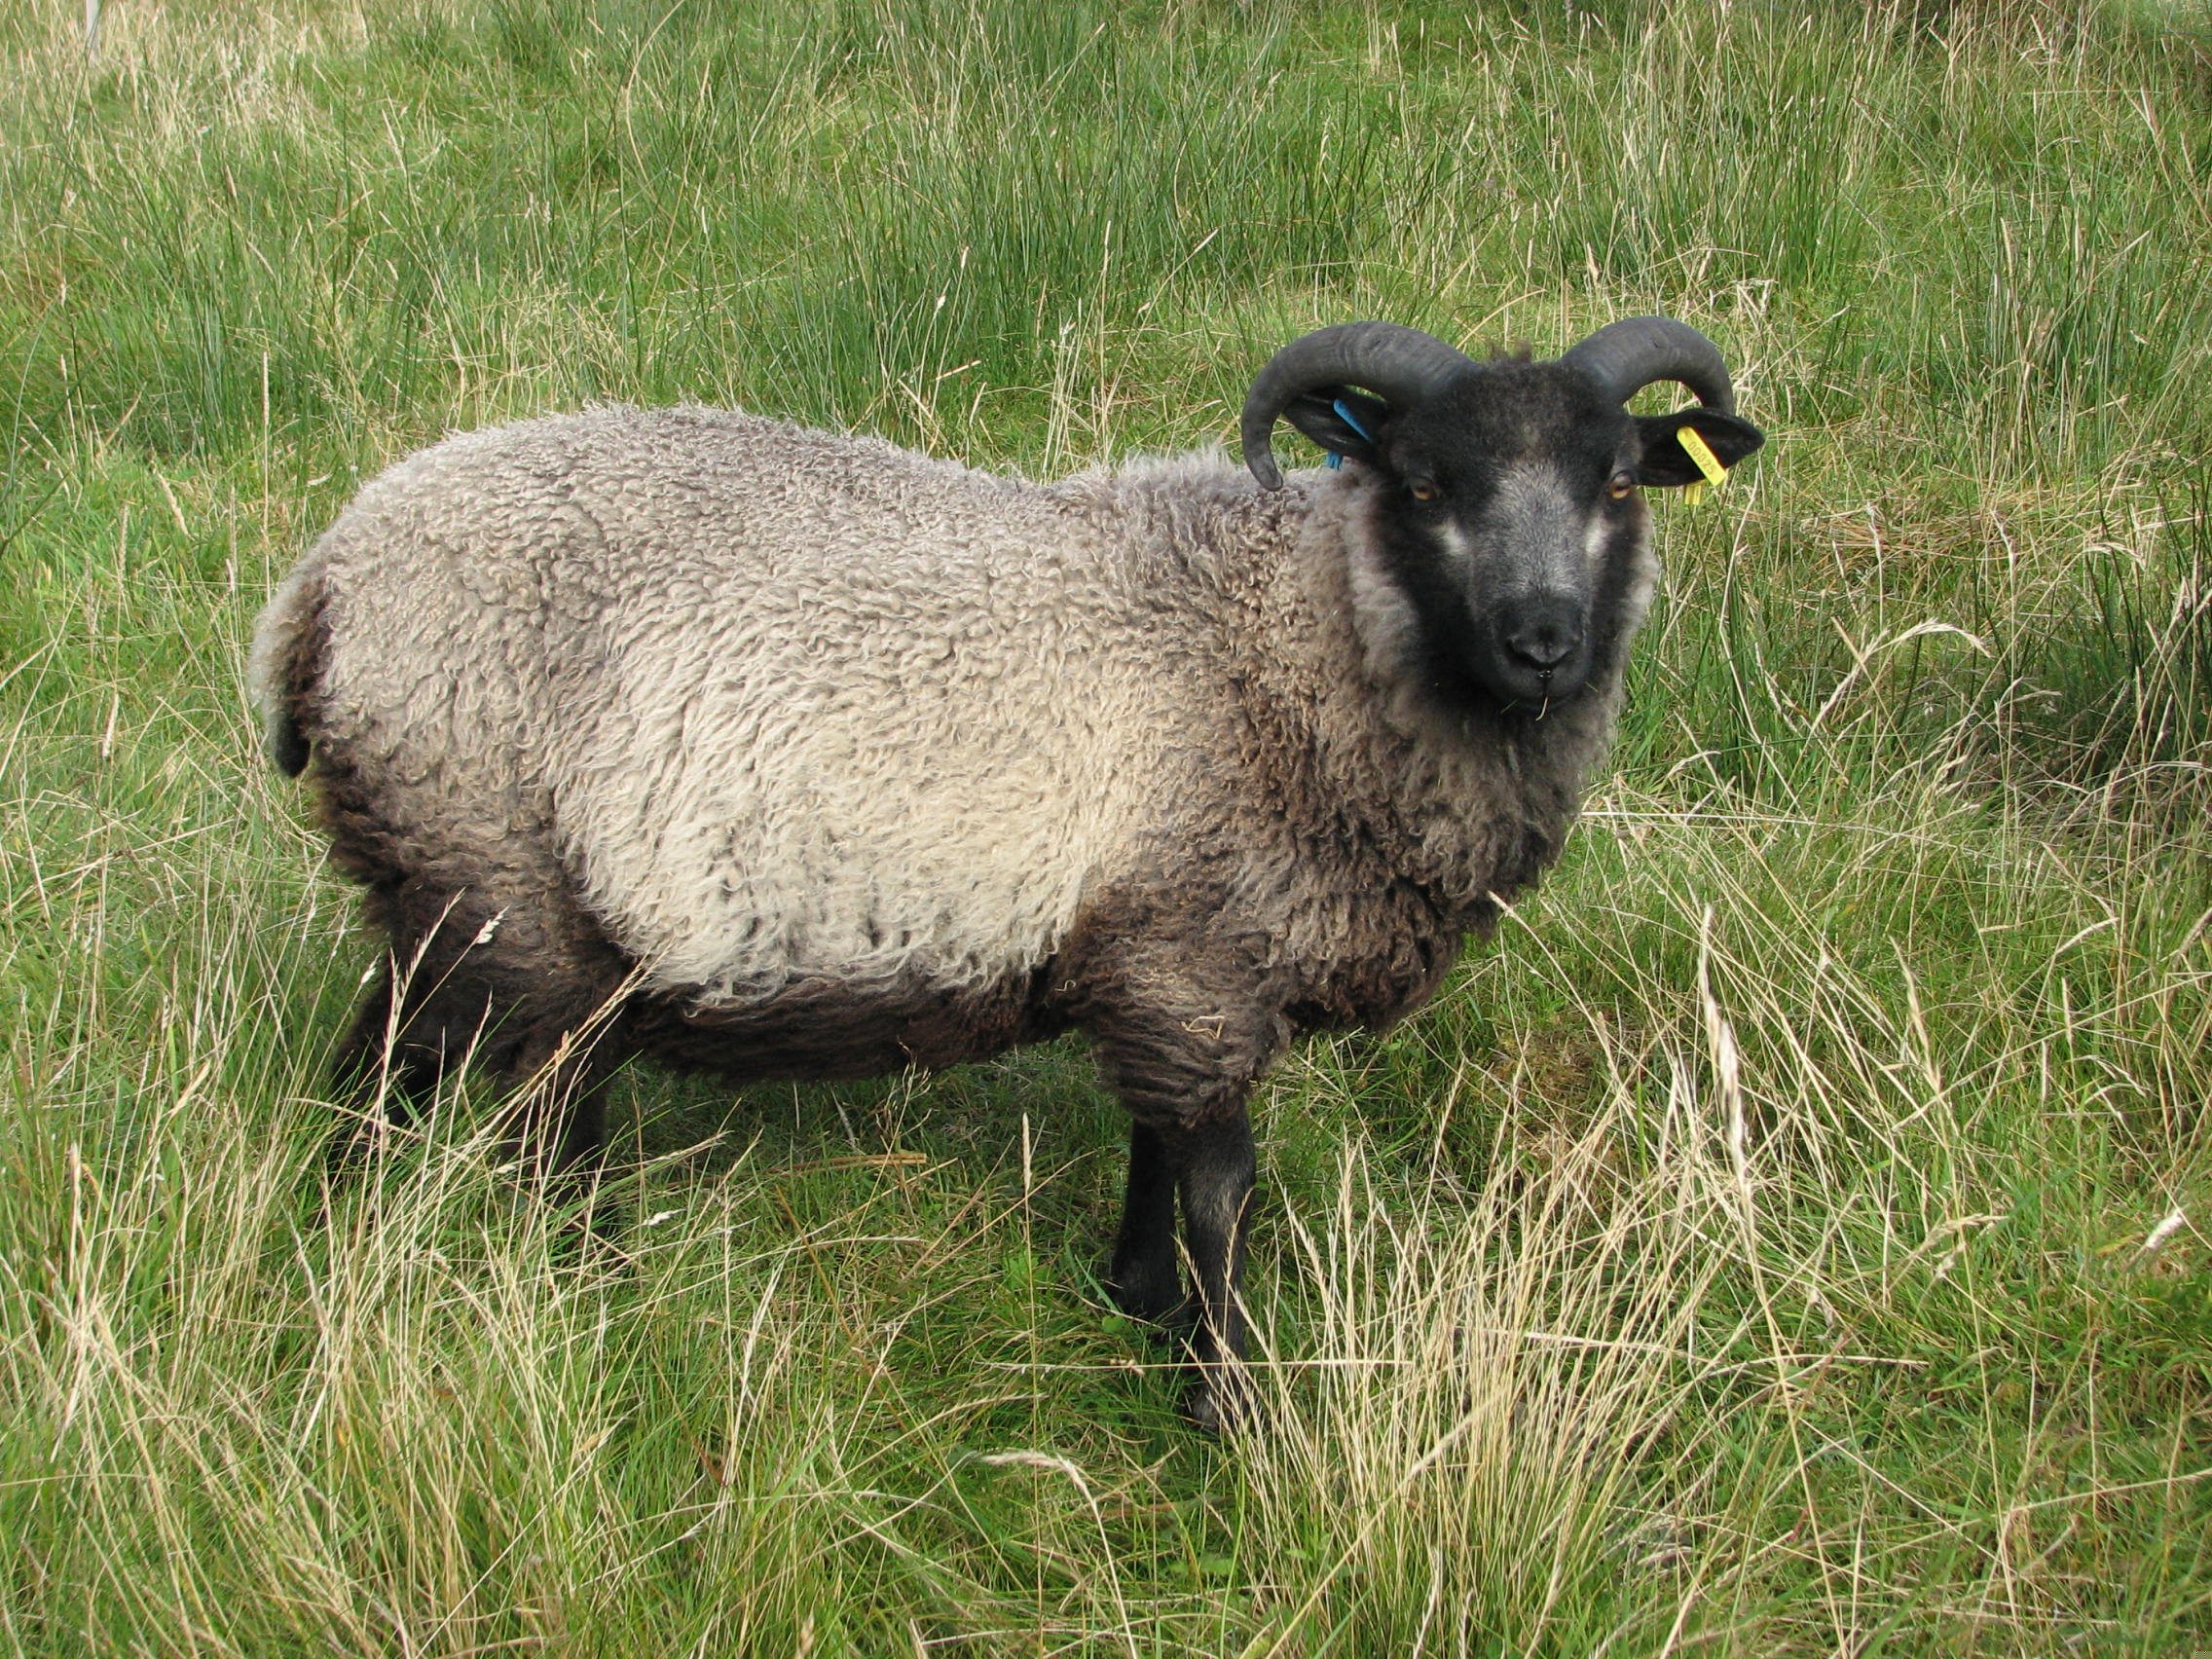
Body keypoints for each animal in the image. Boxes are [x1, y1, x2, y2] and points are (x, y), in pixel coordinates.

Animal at [252, 317, 1764, 1429]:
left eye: (1616, 483)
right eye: (1427, 484)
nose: (1542, 641)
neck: (1301, 639)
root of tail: (319, 584)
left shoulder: (1153, 958)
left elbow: (1158, 1155)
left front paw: (1134, 1303)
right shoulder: (1194, 965)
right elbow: (1221, 1192)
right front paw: (1227, 1411)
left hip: (431, 878)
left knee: (382, 1056)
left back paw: (323, 1229)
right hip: (509, 881)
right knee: (542, 1119)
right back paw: (590, 1287)